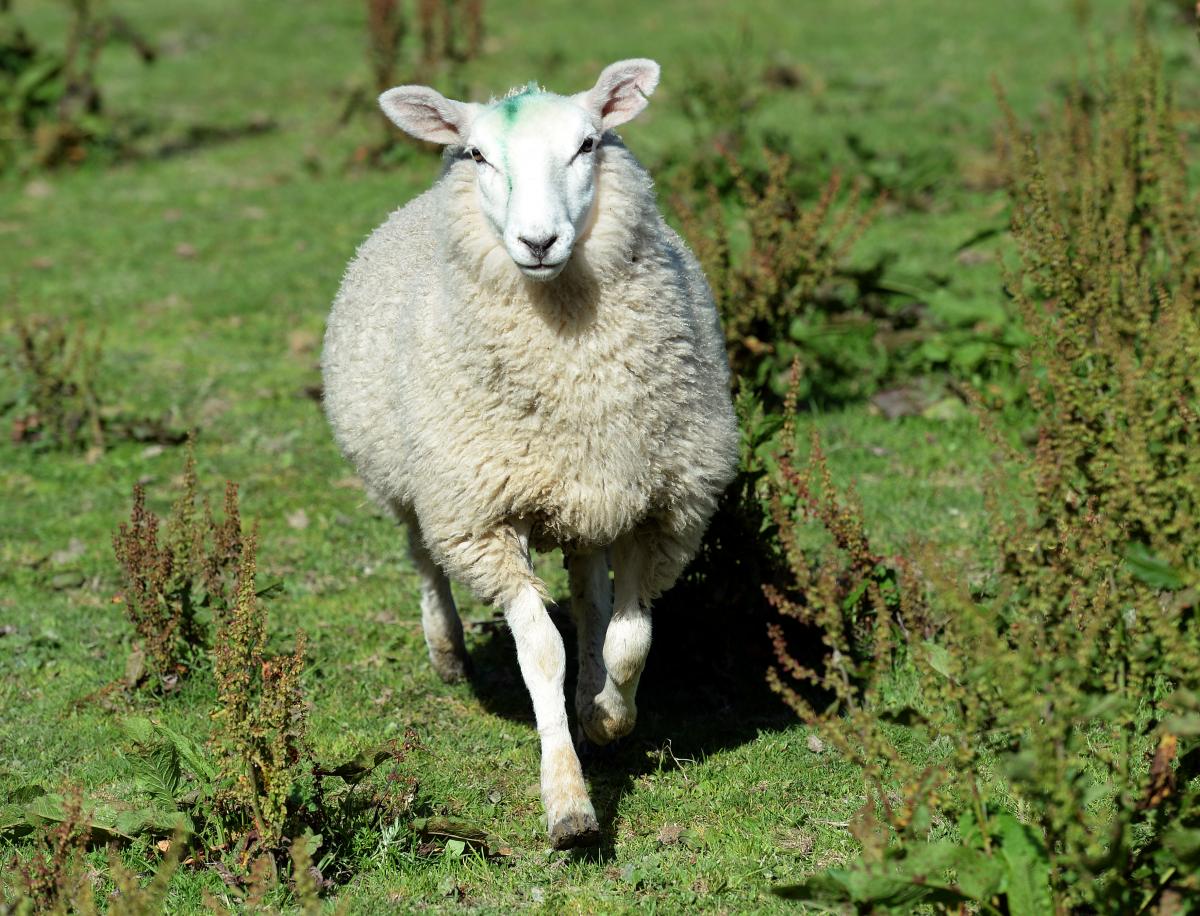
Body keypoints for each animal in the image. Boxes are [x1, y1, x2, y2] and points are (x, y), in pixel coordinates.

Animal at [321, 59, 738, 849]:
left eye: (588, 144)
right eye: (479, 154)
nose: (538, 241)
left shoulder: (662, 507)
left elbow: (632, 638)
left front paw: (606, 715)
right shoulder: (481, 519)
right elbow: (540, 651)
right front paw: (568, 804)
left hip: (585, 498)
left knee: (588, 590)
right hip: (416, 483)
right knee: (424, 557)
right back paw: (447, 652)